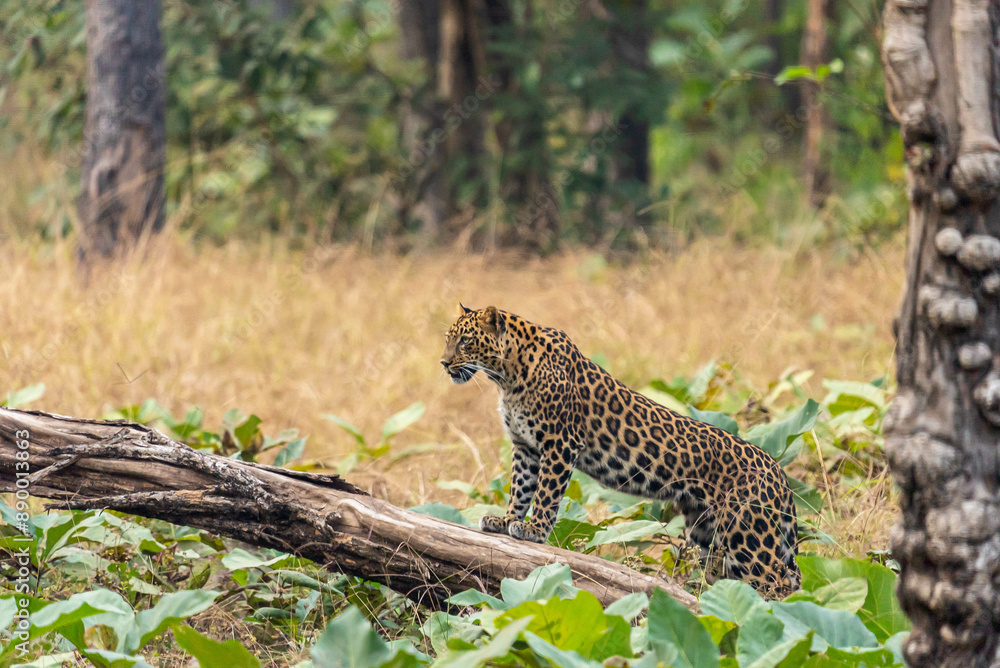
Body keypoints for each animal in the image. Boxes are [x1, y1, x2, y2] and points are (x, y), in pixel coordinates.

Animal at [440, 304, 801, 596]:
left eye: (466, 341)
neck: (505, 377)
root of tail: (779, 472)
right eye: (448, 338)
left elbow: (545, 492)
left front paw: (534, 529)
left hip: (748, 539)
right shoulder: (525, 446)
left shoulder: (560, 442)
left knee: (778, 586)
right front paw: (505, 521)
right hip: (707, 532)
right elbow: (520, 488)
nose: (444, 363)